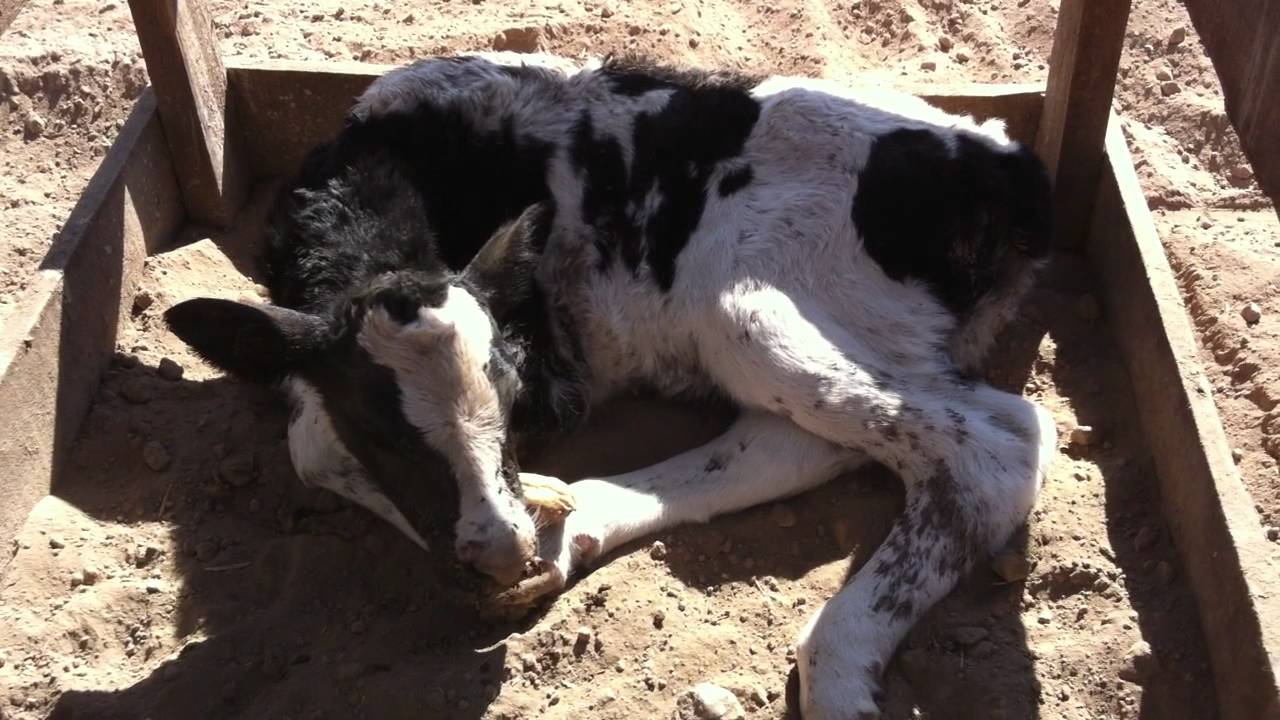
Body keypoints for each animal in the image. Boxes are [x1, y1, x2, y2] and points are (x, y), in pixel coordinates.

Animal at [163, 53, 1056, 718]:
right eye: (383, 429)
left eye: (510, 392)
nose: (503, 547)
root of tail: (1001, 166)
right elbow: (320, 443)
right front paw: (528, 527)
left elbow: (312, 445)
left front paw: (520, 527)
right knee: (791, 442)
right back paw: (575, 530)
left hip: (757, 305)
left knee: (993, 442)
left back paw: (836, 668)